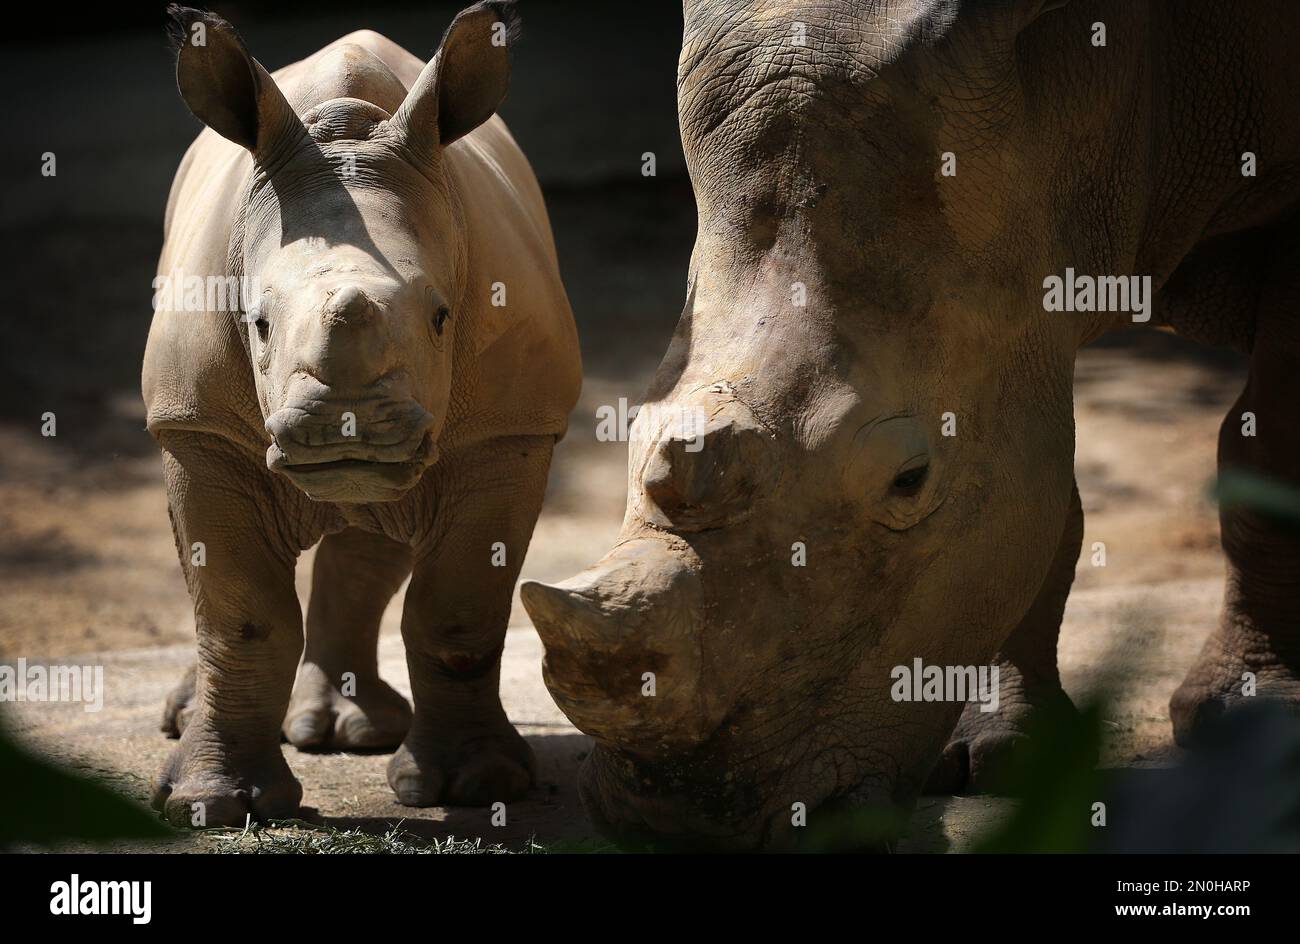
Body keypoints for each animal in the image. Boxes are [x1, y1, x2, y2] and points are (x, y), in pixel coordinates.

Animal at [143, 2, 579, 826]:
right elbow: (239, 619)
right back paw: (190, 718)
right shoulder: (197, 426)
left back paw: (348, 729)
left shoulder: (505, 431)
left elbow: (458, 614)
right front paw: (213, 803)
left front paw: (476, 786)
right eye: (258, 324)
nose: (347, 430)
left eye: (442, 318)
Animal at [522, 0, 1300, 850]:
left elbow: (1267, 451)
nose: (677, 822)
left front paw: (1252, 720)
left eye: (908, 478)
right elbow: (1038, 496)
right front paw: (1003, 757)